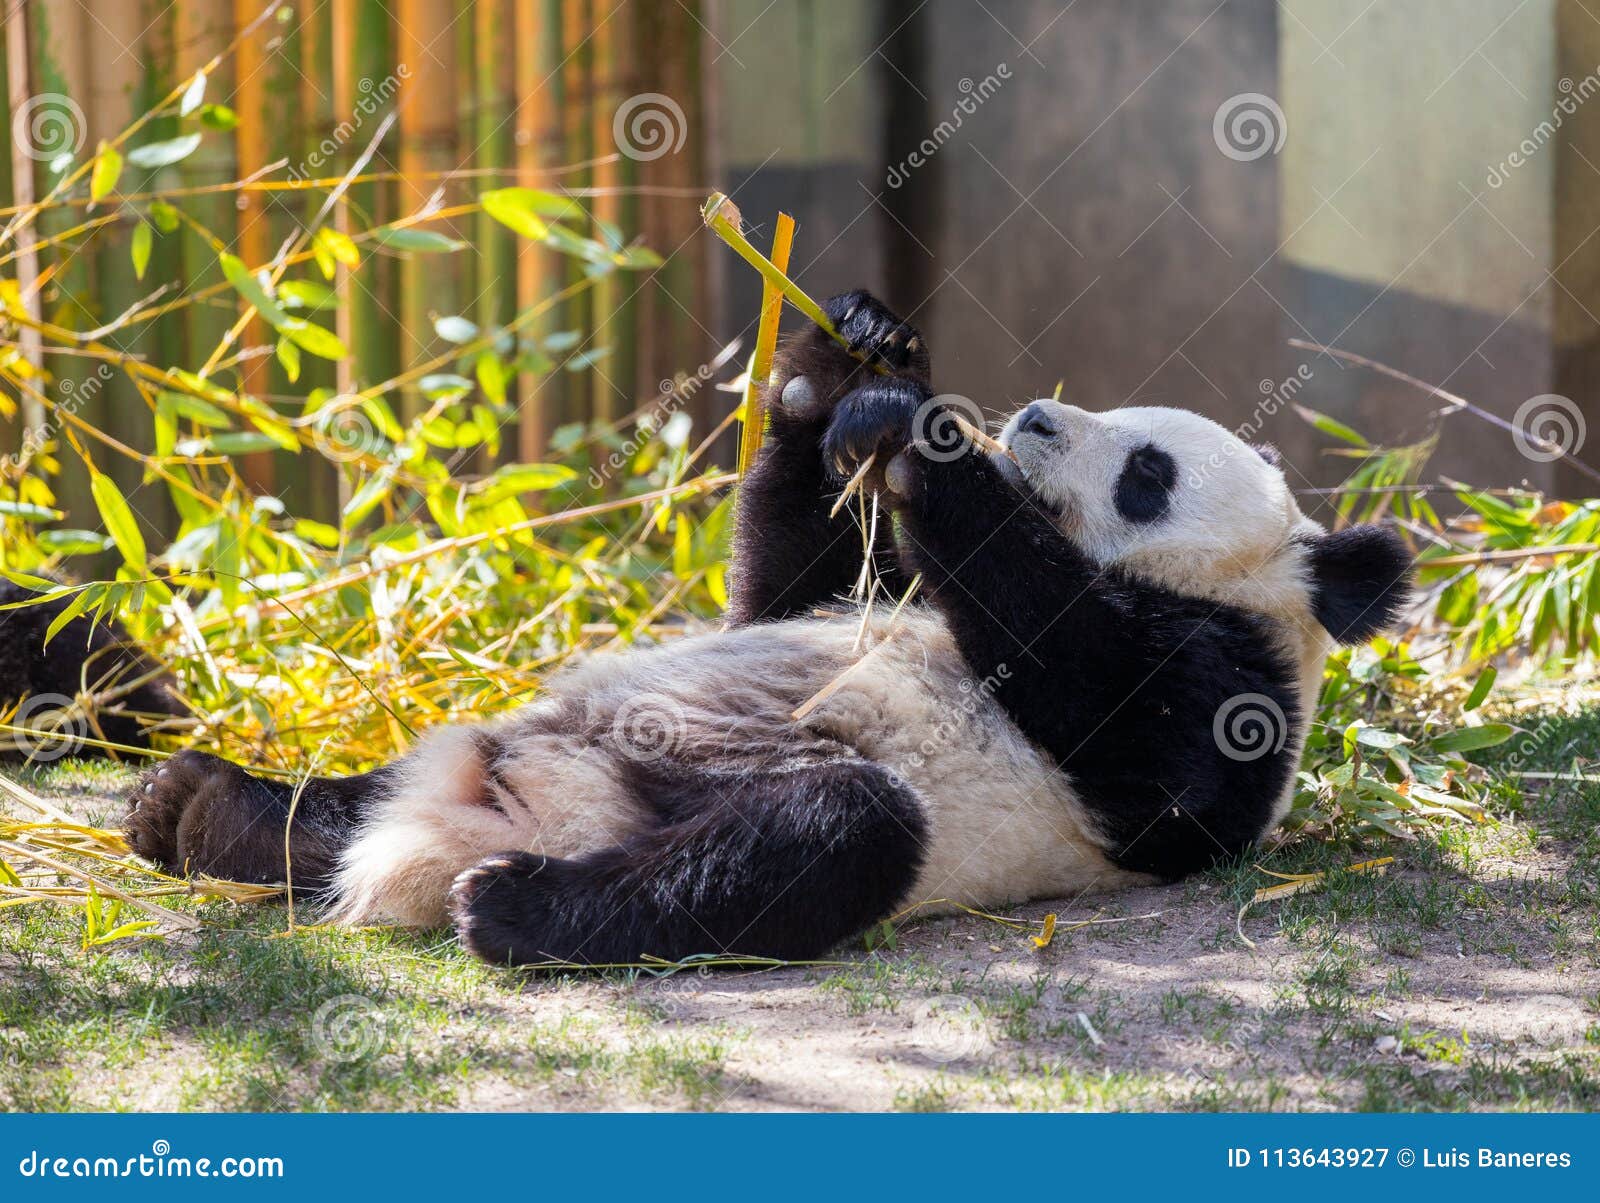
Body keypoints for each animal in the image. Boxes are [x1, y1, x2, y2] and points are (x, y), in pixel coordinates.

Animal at [124, 289, 1412, 966]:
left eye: (1148, 471)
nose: (1037, 420)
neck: (1232, 593)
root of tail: (501, 818)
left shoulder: (1216, 690)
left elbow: (1089, 685)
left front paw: (921, 437)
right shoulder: (851, 593)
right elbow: (788, 591)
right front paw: (846, 361)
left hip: (746, 810)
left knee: (818, 836)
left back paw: (513, 906)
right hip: (493, 744)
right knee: (349, 799)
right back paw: (200, 811)